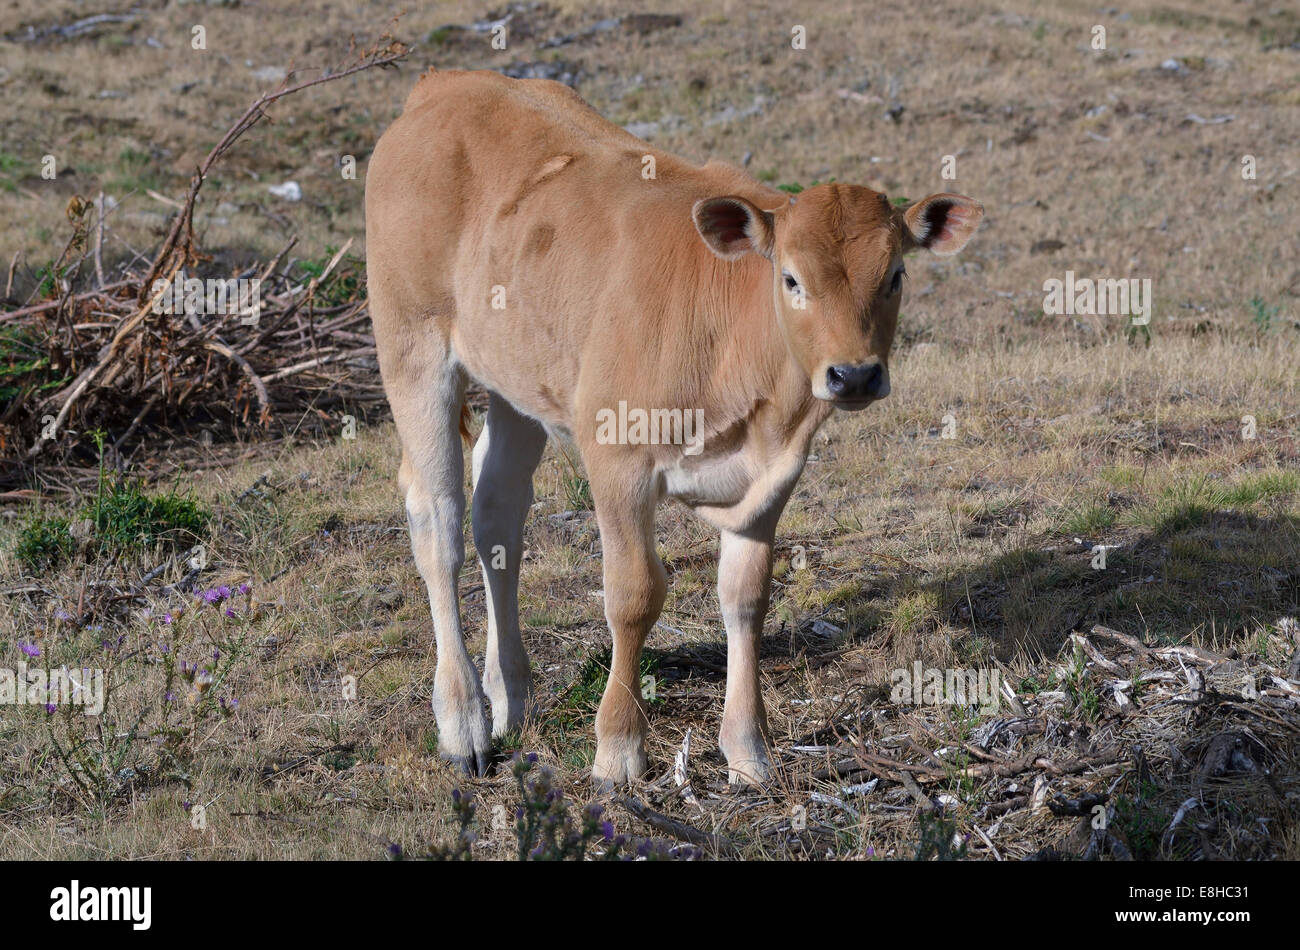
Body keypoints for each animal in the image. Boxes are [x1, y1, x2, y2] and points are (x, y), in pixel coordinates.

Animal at [365, 68, 983, 785]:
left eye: (896, 275)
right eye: (791, 279)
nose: (853, 375)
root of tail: (449, 83)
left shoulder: (772, 475)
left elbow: (746, 597)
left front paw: (749, 747)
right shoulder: (616, 455)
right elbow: (634, 596)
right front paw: (618, 747)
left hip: (516, 375)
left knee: (498, 513)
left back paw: (509, 696)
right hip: (412, 343)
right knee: (437, 520)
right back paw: (463, 719)